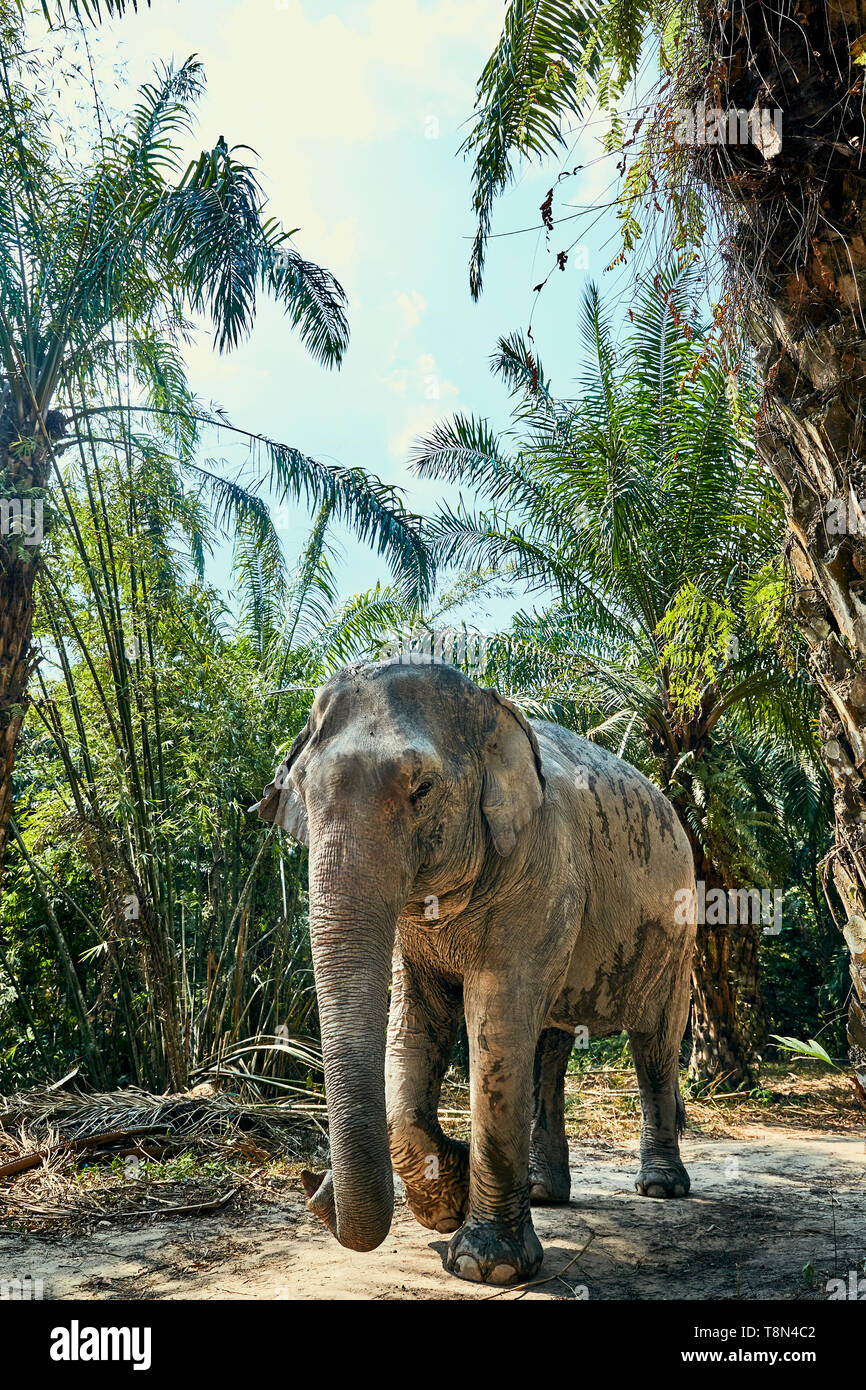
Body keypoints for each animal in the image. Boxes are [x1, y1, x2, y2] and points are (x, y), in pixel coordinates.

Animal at [257, 657, 697, 1286]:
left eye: (421, 789)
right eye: (304, 798)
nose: (315, 1187)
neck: (490, 710)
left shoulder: (540, 868)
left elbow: (496, 1020)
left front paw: (486, 1265)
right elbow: (417, 1022)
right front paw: (448, 1201)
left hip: (679, 932)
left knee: (654, 1042)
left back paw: (659, 1188)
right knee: (549, 1047)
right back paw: (541, 1191)